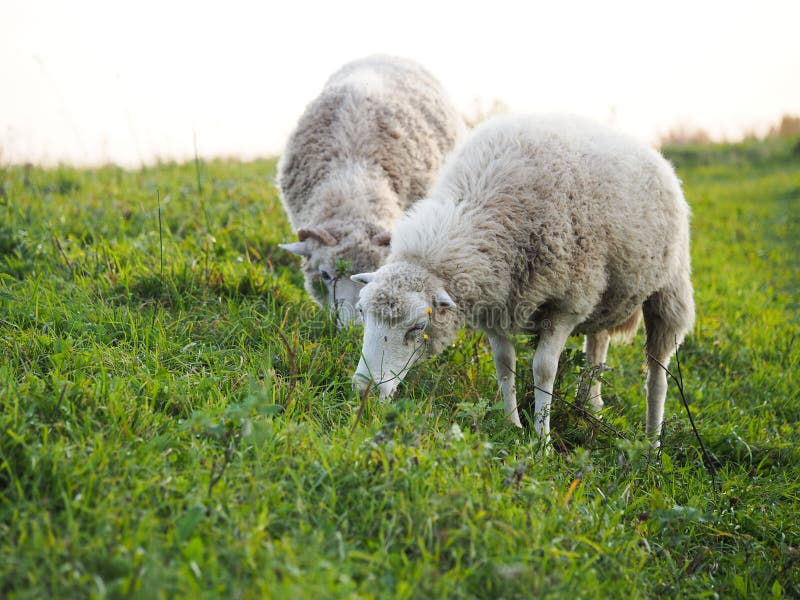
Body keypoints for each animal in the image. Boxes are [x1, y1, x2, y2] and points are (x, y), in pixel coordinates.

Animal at [351, 114, 695, 443]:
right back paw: (589, 407)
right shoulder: (494, 305)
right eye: (362, 313)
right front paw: (512, 424)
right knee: (596, 348)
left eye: (418, 326)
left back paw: (652, 442)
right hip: (607, 297)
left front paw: (542, 440)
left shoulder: (566, 305)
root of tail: (655, 155)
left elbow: (543, 370)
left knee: (657, 375)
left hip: (668, 291)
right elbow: (505, 365)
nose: (362, 388)